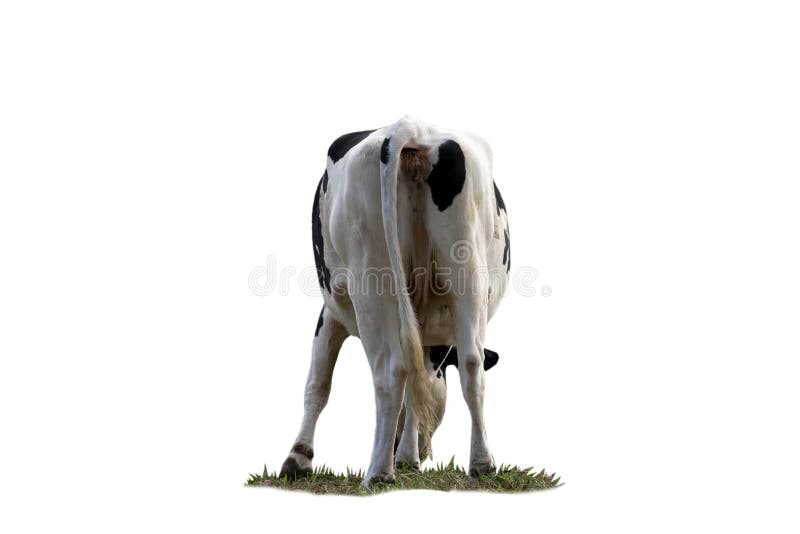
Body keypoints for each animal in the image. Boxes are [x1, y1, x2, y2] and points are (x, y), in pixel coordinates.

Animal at [278, 117, 511, 486]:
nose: (425, 450)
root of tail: (411, 127)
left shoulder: (330, 311)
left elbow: (317, 384)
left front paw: (297, 458)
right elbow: (416, 390)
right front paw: (407, 456)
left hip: (373, 281)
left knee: (391, 371)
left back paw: (378, 471)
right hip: (467, 270)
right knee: (471, 364)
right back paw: (482, 463)